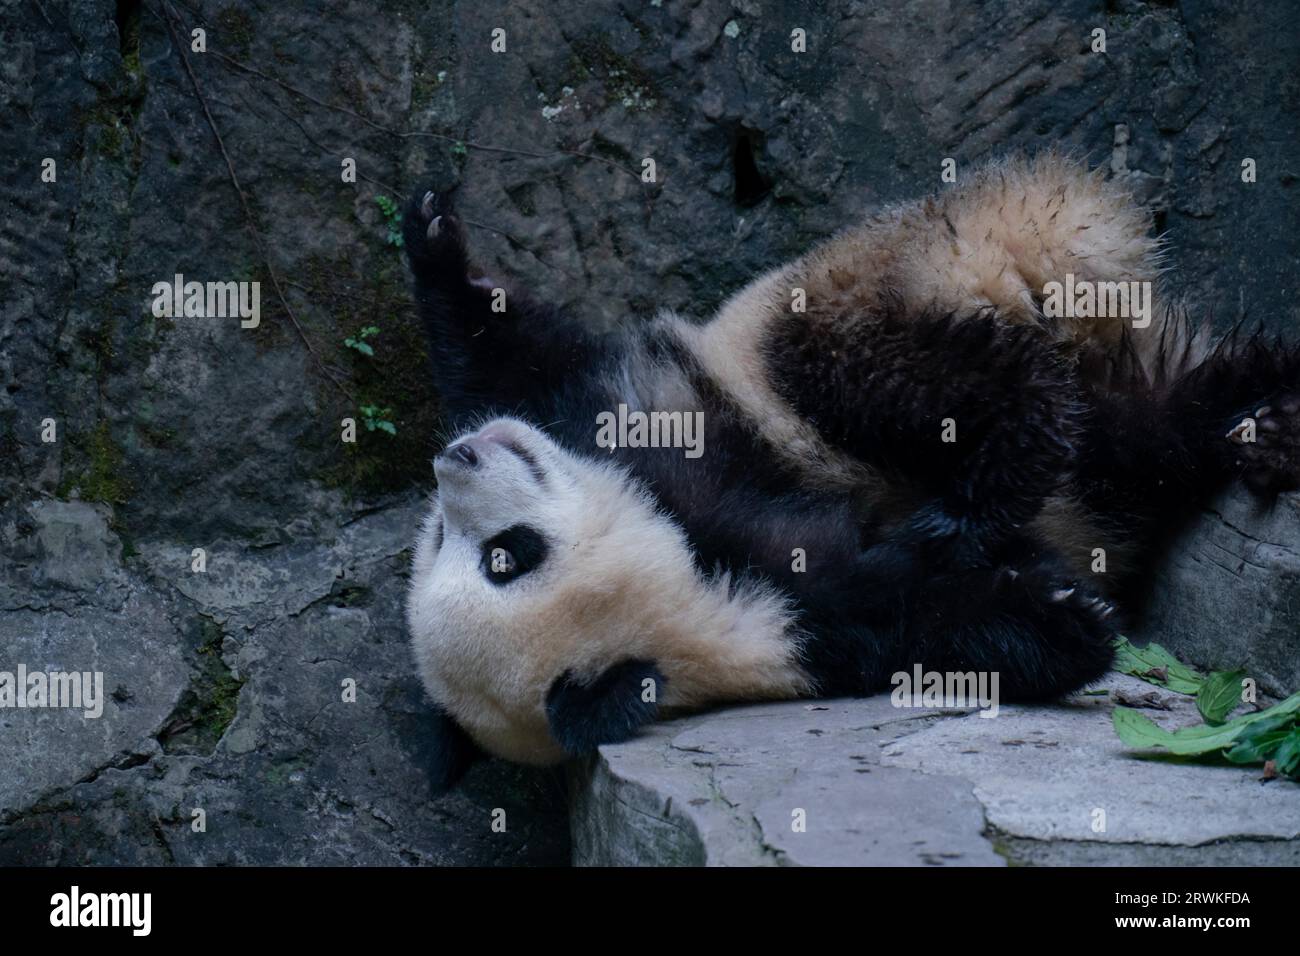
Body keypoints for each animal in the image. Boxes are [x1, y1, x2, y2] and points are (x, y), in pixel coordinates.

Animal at [402, 152, 1300, 787]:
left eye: (491, 551)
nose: (457, 457)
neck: (685, 559)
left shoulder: (647, 426)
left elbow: (514, 360)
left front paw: (435, 234)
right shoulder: (804, 622)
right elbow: (930, 620)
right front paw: (1065, 615)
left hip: (858, 279)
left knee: (895, 380)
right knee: (1143, 420)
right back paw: (1258, 425)